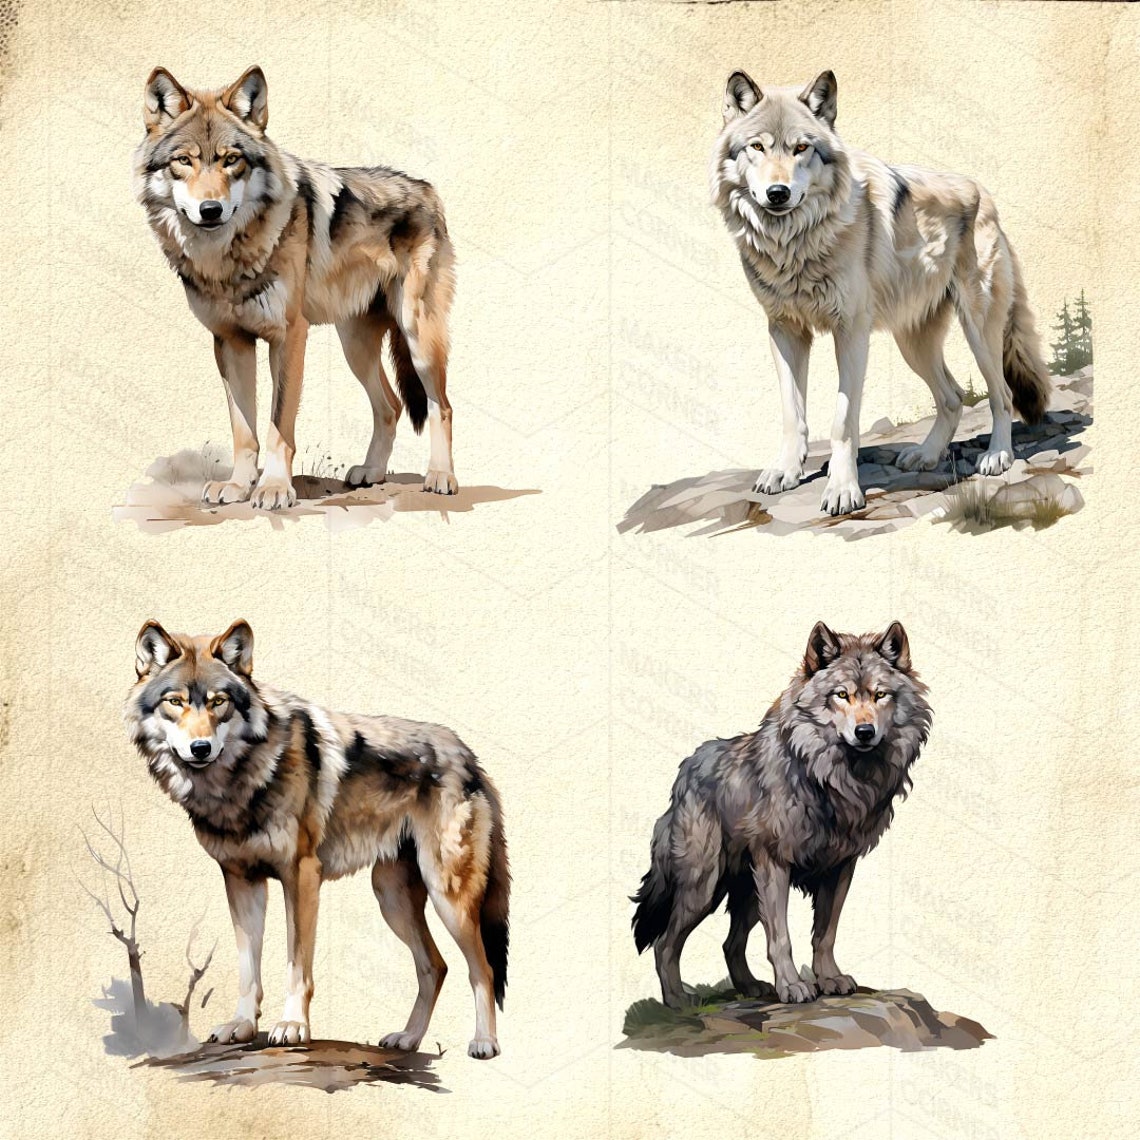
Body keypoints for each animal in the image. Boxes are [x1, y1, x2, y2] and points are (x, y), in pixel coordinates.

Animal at [124, 620, 509, 1058]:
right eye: (175, 702)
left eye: (219, 702)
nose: (200, 748)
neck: (240, 781)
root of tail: (468, 755)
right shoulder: (241, 880)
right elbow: (248, 968)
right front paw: (242, 1026)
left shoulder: (301, 875)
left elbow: (297, 965)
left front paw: (292, 1026)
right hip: (391, 898)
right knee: (435, 966)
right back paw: (408, 1039)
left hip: (447, 895)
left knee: (483, 968)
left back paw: (484, 1043)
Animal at [135, 66, 458, 509]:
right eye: (184, 161)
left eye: (231, 160)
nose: (211, 210)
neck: (229, 260)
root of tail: (427, 189)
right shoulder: (231, 342)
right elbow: (244, 431)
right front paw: (237, 486)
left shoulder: (289, 336)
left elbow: (278, 427)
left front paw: (273, 488)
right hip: (355, 347)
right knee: (390, 406)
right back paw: (371, 473)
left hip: (417, 336)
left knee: (442, 406)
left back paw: (441, 477)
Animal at [631, 621, 931, 1007]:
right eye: (841, 695)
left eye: (880, 695)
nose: (865, 732)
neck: (834, 781)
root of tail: (685, 772)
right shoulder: (775, 862)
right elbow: (782, 938)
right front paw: (792, 987)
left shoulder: (840, 868)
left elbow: (825, 934)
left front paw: (829, 979)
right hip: (704, 886)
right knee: (664, 943)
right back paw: (677, 1001)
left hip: (744, 893)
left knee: (729, 944)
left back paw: (750, 987)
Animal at [711, 70, 1050, 516]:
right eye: (757, 147)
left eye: (801, 148)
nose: (778, 193)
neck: (795, 244)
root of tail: (984, 194)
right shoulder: (784, 330)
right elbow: (792, 413)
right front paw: (785, 472)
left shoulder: (851, 332)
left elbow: (842, 421)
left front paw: (842, 490)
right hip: (913, 343)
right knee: (954, 396)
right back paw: (925, 455)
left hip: (978, 332)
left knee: (1003, 394)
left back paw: (997, 456)